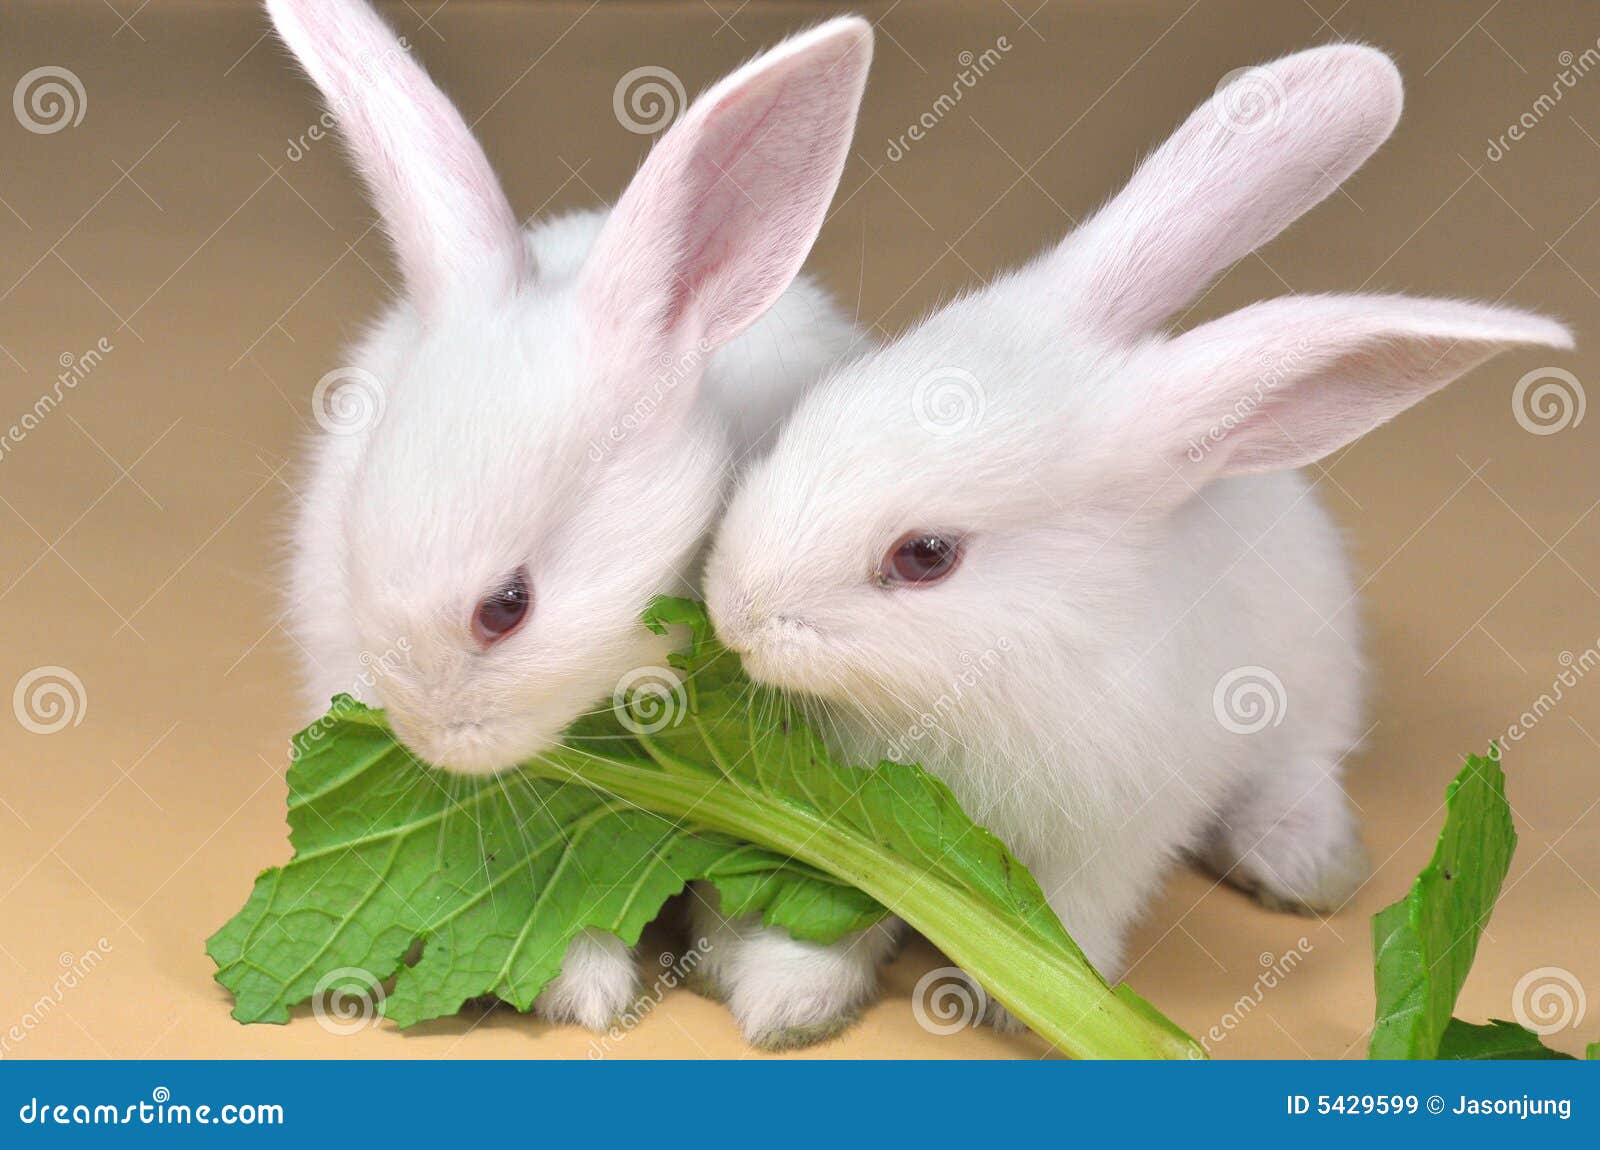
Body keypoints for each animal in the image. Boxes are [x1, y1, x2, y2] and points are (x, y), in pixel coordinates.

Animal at [699, 43, 1575, 1047]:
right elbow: (832, 913)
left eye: (925, 556)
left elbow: (1070, 916)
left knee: (1300, 766)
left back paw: (1306, 865)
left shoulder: (1112, 831)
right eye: (810, 412)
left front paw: (1028, 1002)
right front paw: (785, 1002)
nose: (733, 612)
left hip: (1311, 687)